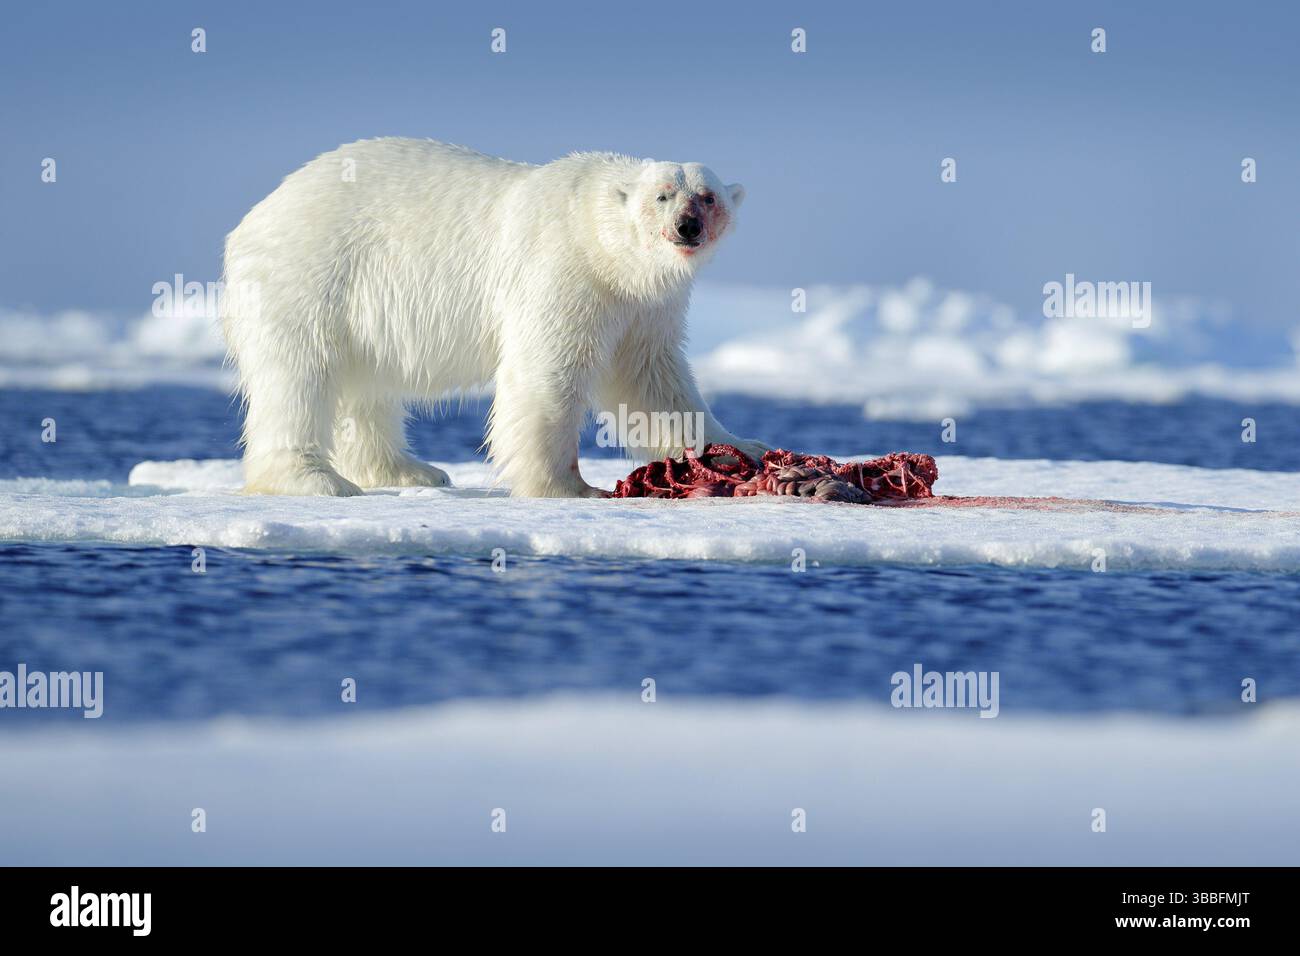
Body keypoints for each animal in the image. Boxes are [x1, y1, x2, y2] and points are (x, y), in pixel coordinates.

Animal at [219, 137, 766, 497]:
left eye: (708, 196)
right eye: (662, 195)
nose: (687, 226)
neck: (603, 246)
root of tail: (256, 215)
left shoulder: (643, 306)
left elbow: (653, 381)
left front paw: (741, 448)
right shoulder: (565, 271)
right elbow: (546, 370)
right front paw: (567, 485)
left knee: (366, 388)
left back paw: (411, 470)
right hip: (310, 275)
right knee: (297, 376)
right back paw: (315, 479)